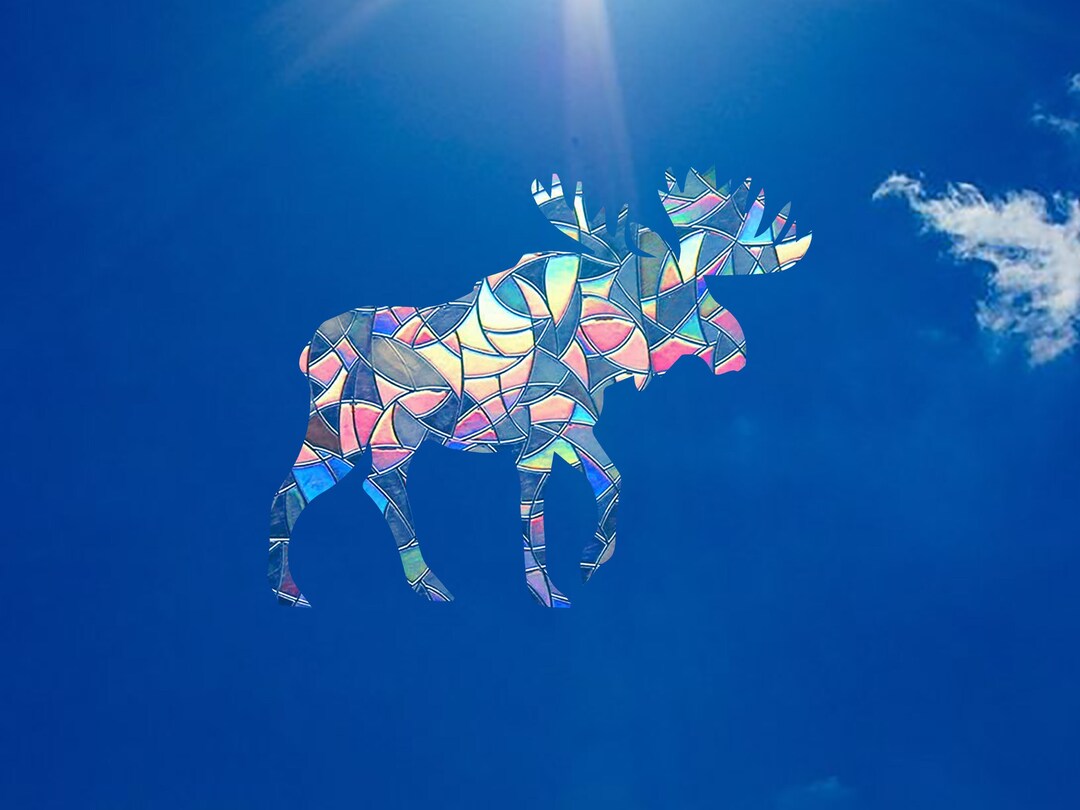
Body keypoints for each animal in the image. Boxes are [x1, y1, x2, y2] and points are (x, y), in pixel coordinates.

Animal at [268, 167, 812, 608]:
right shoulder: (541, 439)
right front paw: (547, 591)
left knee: (363, 488)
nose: (740, 349)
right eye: (695, 286)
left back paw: (411, 585)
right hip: (353, 434)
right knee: (307, 492)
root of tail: (307, 351)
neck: (605, 345)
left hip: (378, 440)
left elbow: (614, 482)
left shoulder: (572, 430)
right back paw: (302, 592)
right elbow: (536, 516)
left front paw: (590, 562)